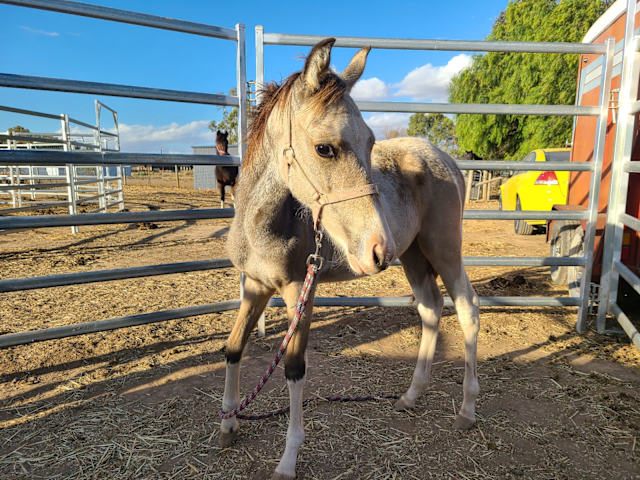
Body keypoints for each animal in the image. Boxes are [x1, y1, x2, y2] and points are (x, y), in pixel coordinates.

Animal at [221, 39, 480, 480]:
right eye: (324, 148)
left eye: (371, 142)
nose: (377, 249)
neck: (263, 224)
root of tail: (444, 158)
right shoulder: (255, 286)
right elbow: (234, 348)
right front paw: (228, 424)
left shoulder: (299, 292)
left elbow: (293, 369)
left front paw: (288, 460)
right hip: (412, 256)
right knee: (431, 308)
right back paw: (410, 396)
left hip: (443, 249)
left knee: (467, 308)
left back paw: (466, 410)